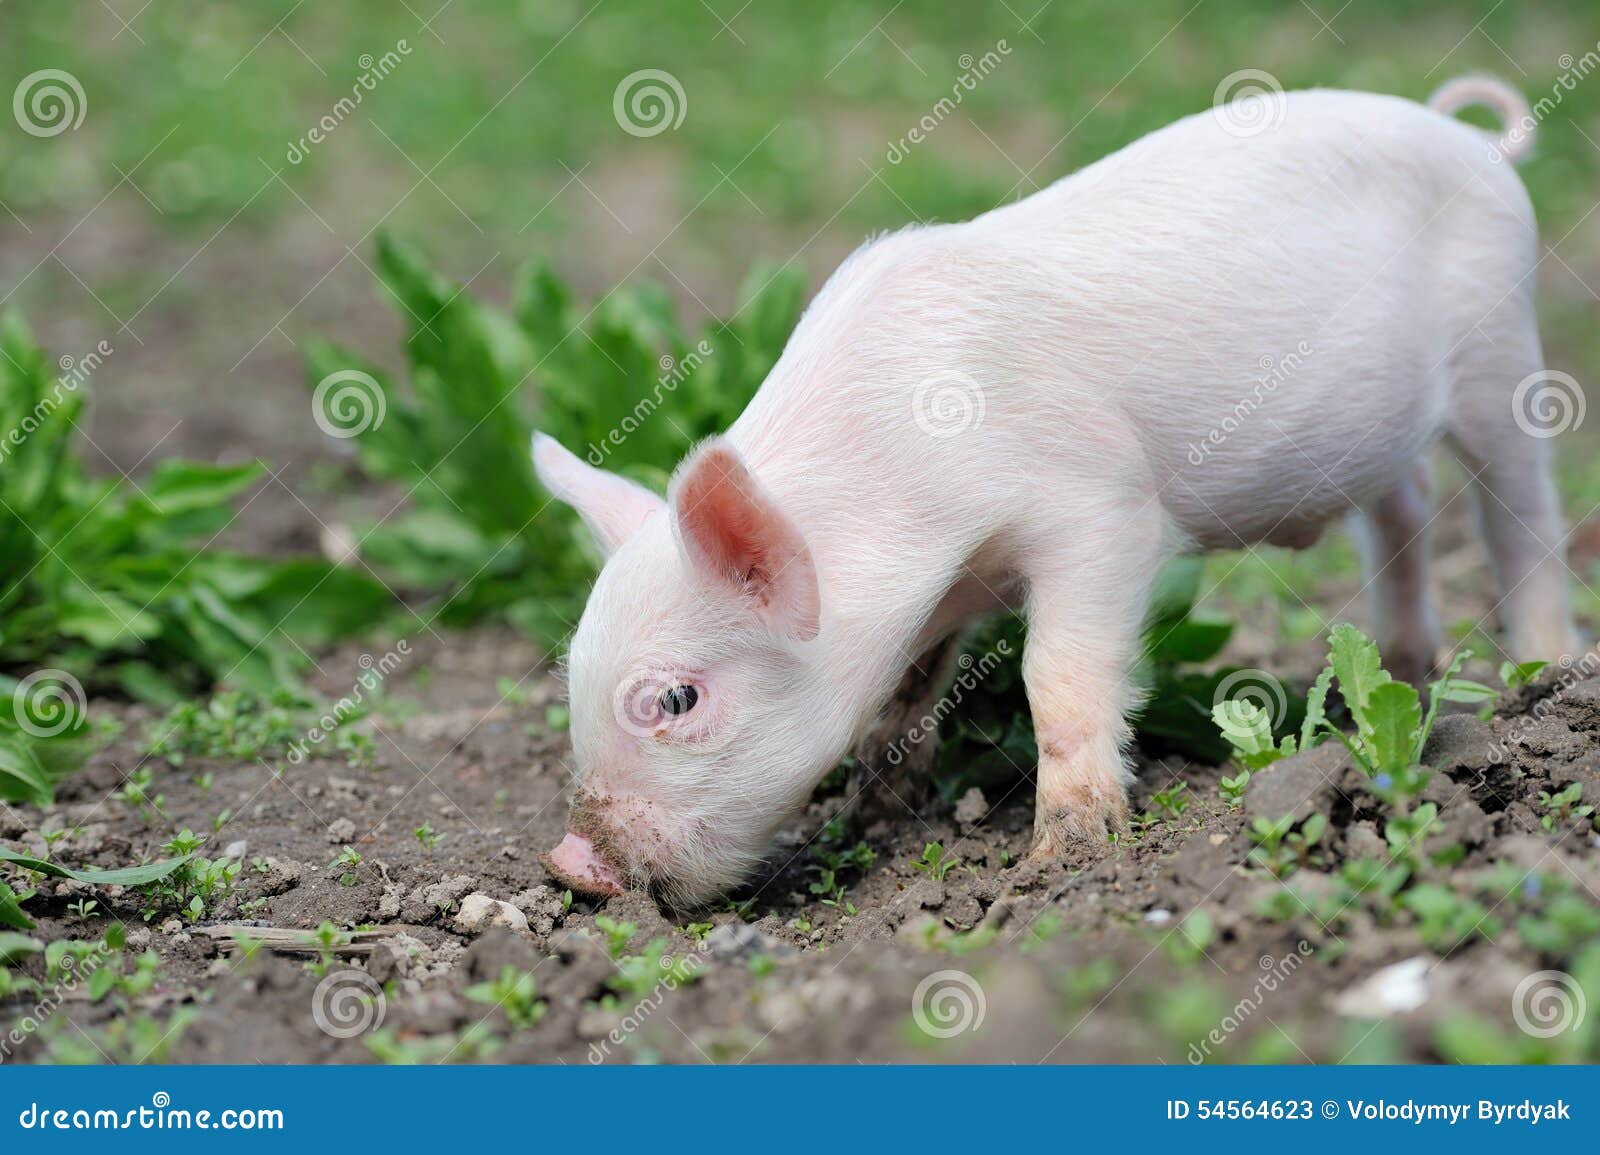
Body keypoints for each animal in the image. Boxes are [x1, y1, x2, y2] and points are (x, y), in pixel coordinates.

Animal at [535, 77, 1577, 906]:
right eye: (573, 673)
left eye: (674, 700)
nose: (571, 863)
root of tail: (1475, 140)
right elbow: (911, 685)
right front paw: (880, 804)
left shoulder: (1102, 510)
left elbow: (1057, 673)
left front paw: (1063, 856)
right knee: (1405, 508)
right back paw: (1401, 669)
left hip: (1502, 350)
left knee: (1524, 518)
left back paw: (1543, 675)